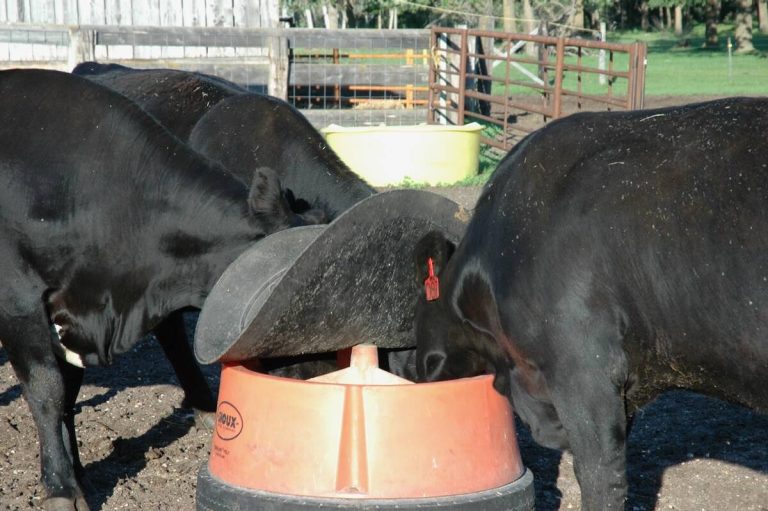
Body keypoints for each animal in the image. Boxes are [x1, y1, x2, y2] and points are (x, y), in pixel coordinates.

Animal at [0, 69, 320, 511]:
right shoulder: (19, 301)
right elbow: (48, 391)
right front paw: (61, 488)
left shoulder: (71, 317)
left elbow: (68, 394)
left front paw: (80, 475)